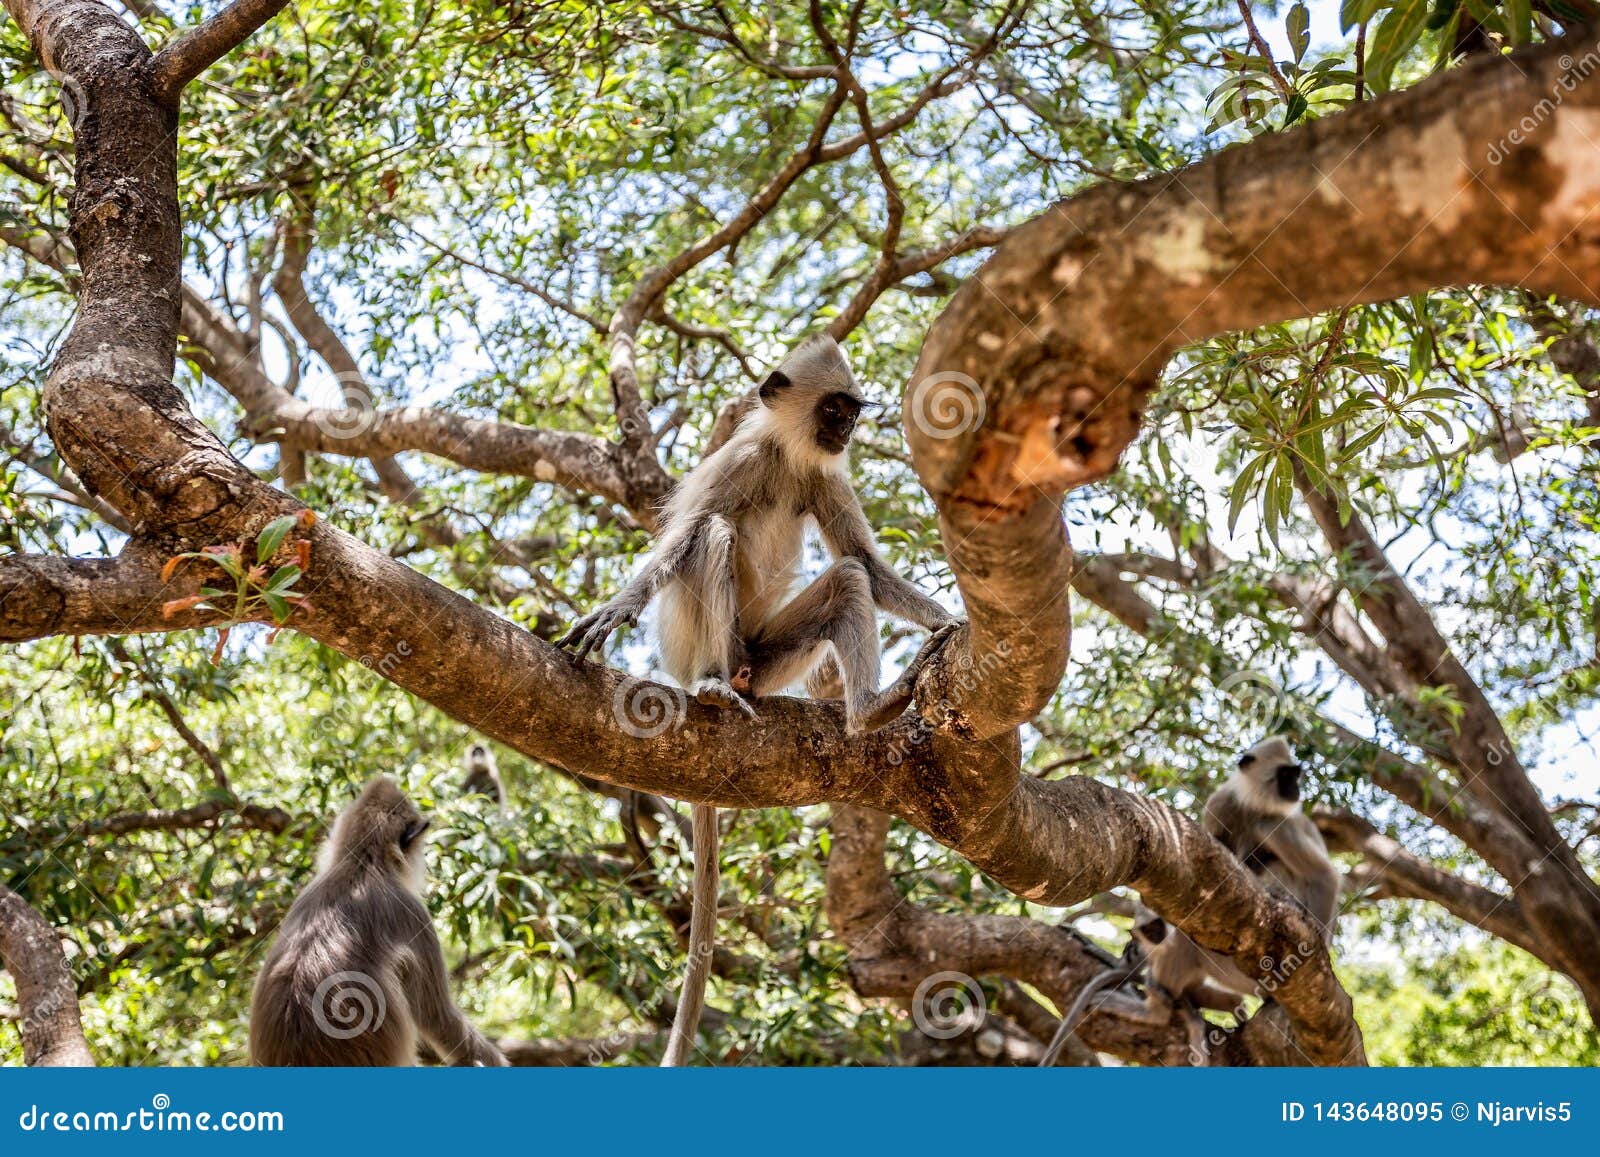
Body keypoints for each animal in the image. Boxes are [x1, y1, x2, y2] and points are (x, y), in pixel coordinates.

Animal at [556, 333, 962, 1066]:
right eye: (833, 409)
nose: (847, 431)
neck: (785, 455)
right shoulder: (741, 459)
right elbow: (679, 540)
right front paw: (620, 606)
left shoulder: (825, 474)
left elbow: (867, 564)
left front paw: (949, 622)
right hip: (699, 643)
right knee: (713, 532)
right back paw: (718, 687)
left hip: (771, 657)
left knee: (847, 578)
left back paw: (870, 708)